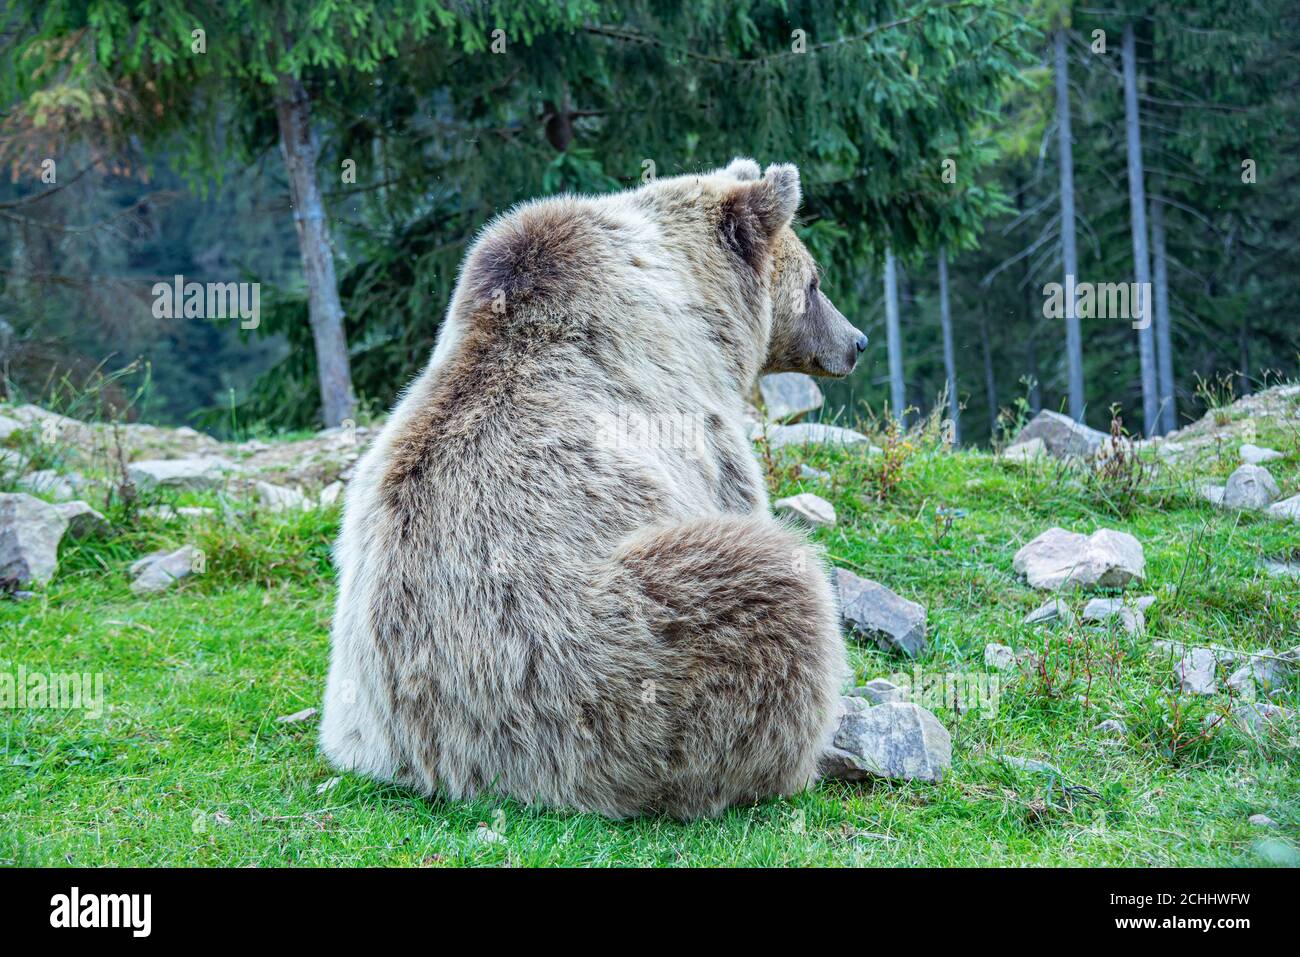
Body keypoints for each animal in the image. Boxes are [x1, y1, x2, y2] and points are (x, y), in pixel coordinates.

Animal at [319, 157, 869, 819]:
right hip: (606, 668)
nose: (856, 341)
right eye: (814, 283)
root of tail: (453, 765)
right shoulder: (699, 424)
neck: (693, 302)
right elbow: (741, 496)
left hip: (362, 705)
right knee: (775, 588)